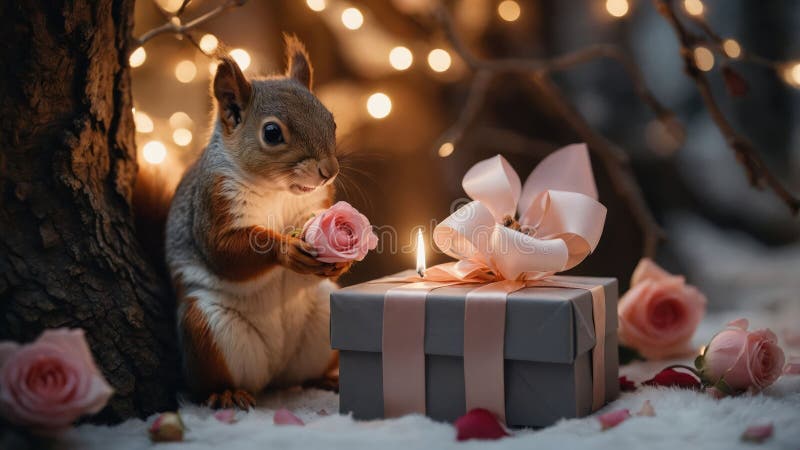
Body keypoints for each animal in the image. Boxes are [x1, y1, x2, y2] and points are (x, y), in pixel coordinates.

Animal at [164, 36, 346, 409]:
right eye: (272, 133)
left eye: (332, 121)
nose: (329, 171)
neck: (276, 190)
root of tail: (275, 373)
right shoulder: (214, 201)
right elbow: (224, 252)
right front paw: (286, 250)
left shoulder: (315, 204)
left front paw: (343, 261)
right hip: (209, 329)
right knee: (210, 379)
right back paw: (226, 392)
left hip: (324, 318)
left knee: (305, 373)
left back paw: (324, 379)